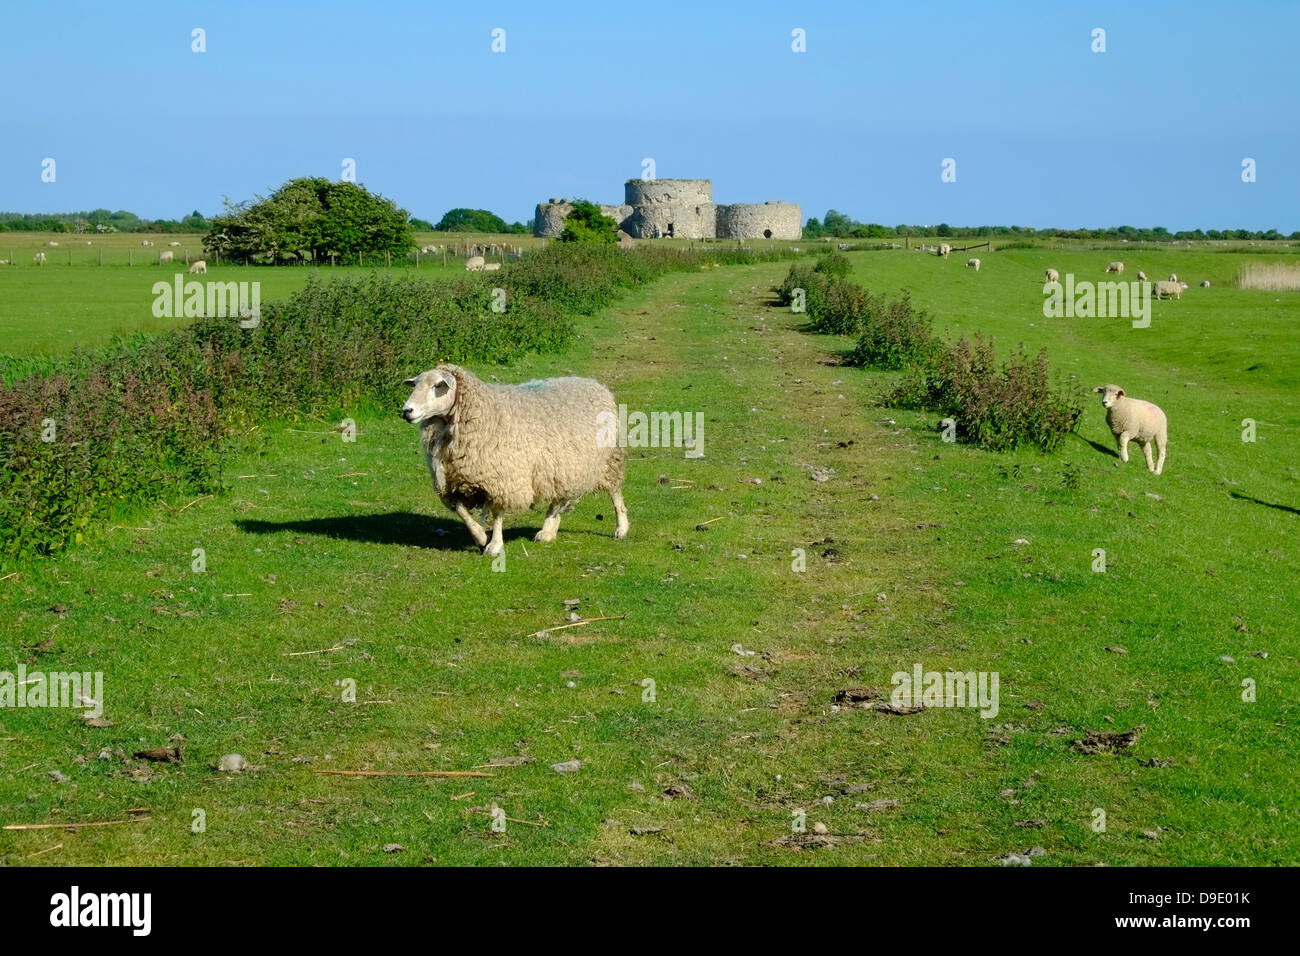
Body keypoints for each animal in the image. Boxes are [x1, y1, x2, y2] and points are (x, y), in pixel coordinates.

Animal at [401, 365, 628, 556]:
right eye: (415, 384)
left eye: (438, 386)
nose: (406, 411)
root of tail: (595, 384)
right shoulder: (452, 482)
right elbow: (461, 511)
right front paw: (480, 537)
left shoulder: (502, 478)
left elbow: (497, 514)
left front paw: (494, 545)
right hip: (564, 465)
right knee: (560, 498)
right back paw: (548, 530)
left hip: (608, 460)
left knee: (615, 493)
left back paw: (621, 527)